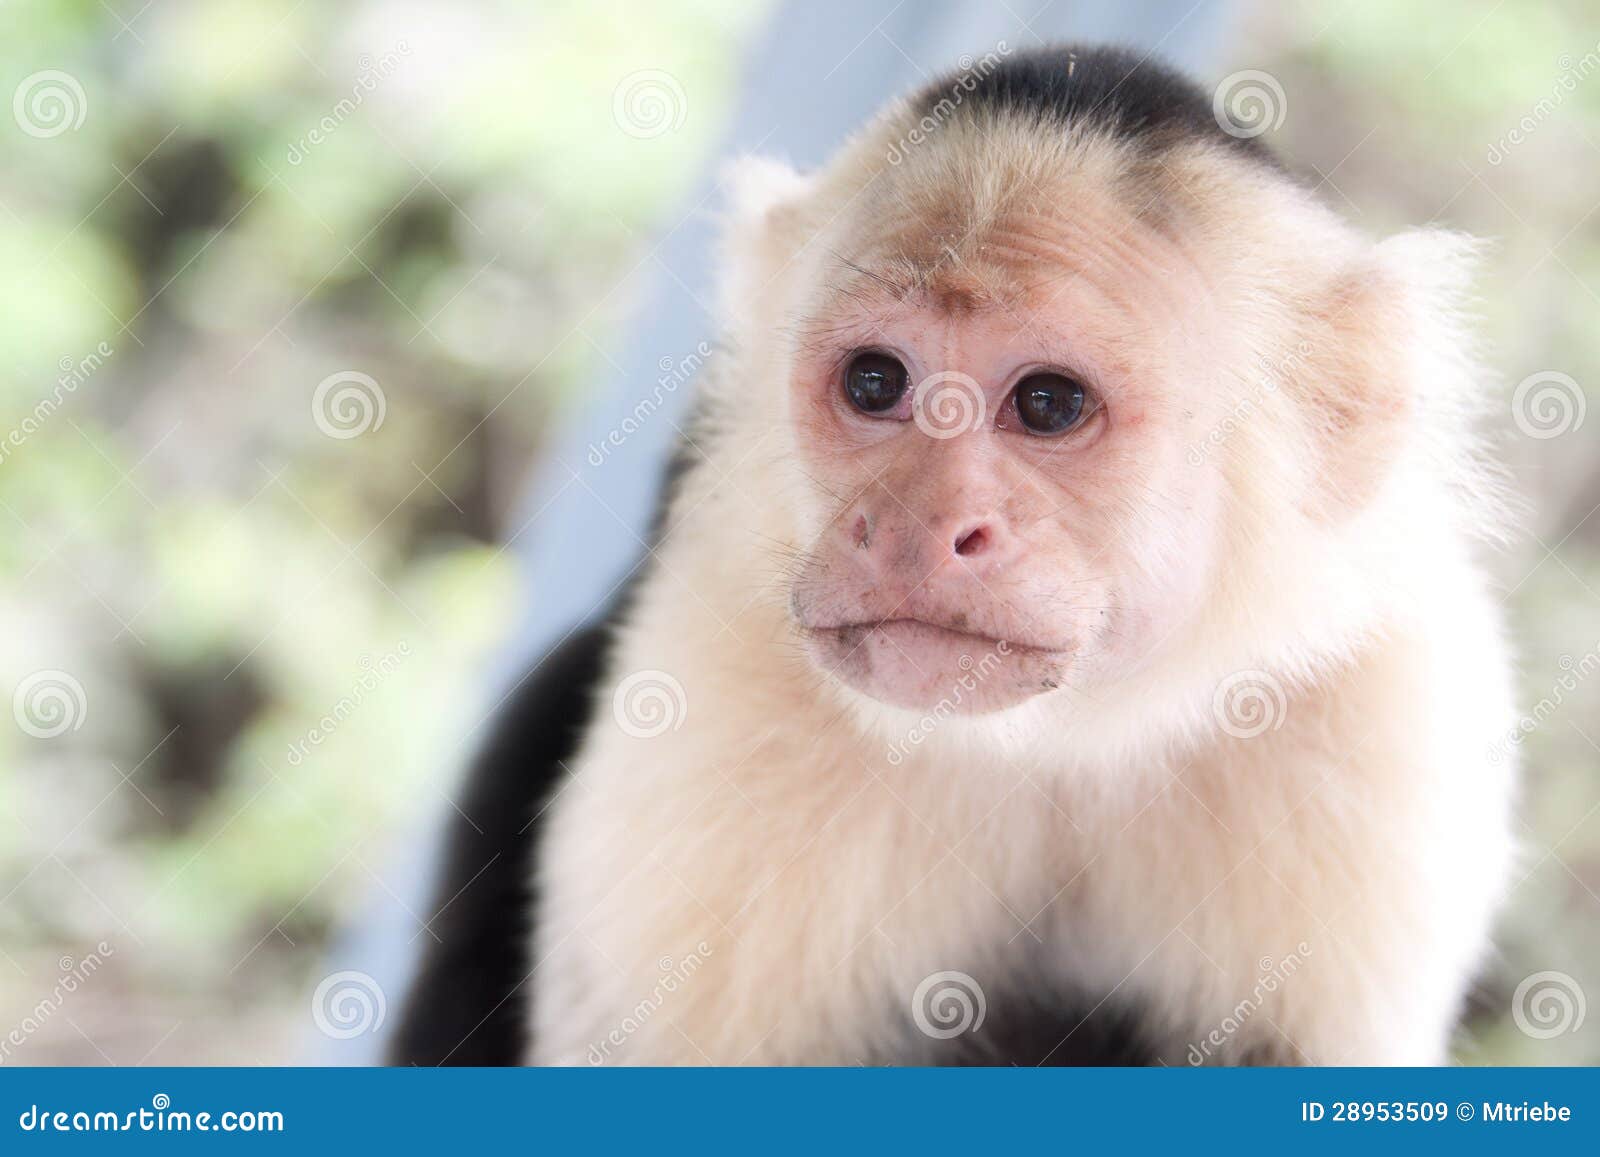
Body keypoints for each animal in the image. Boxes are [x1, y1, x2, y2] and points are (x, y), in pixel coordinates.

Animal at [390, 44, 1519, 1067]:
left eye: (1049, 403)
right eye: (875, 382)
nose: (916, 526)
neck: (1055, 740)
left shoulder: (1391, 702)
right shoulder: (715, 664)